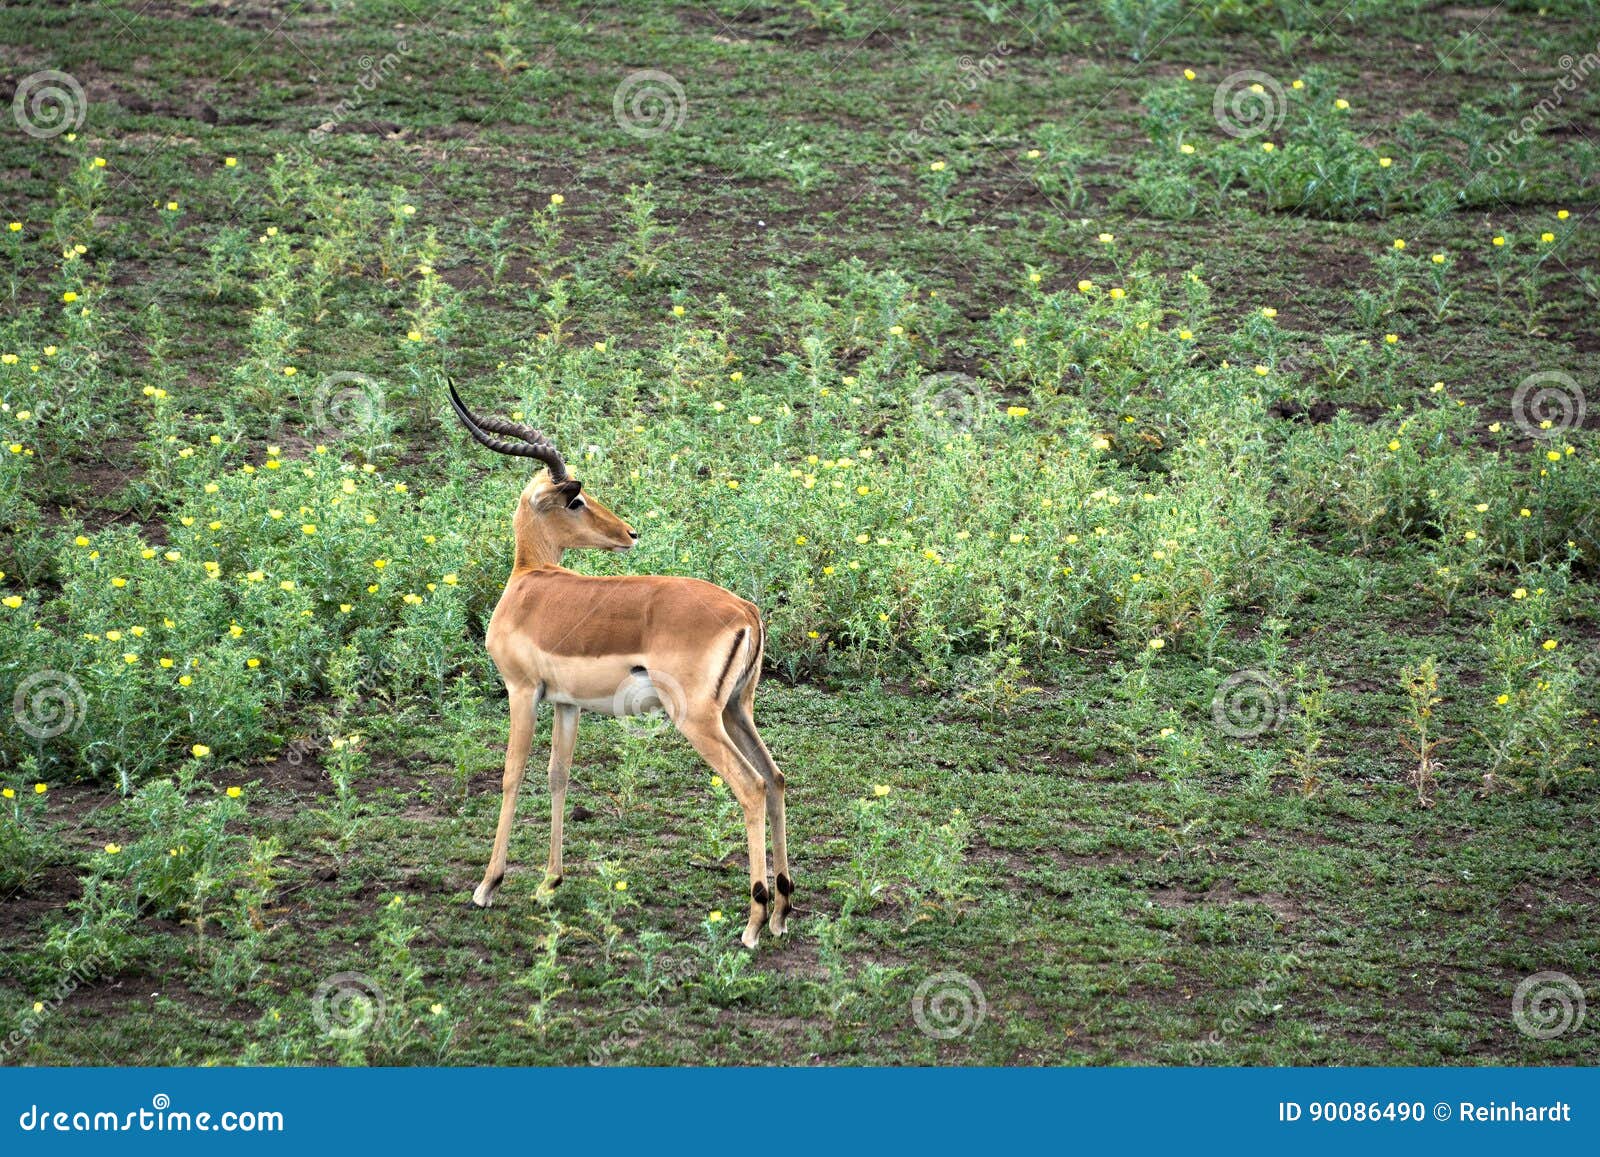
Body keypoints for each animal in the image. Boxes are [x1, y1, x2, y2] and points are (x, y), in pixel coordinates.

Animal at [447, 383, 793, 948]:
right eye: (577, 500)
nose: (630, 533)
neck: (529, 583)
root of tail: (746, 610)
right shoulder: (566, 704)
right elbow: (558, 775)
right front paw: (549, 883)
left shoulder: (522, 691)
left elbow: (512, 774)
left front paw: (488, 885)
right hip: (737, 711)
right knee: (776, 778)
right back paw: (783, 911)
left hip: (698, 720)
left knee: (752, 786)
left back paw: (754, 922)